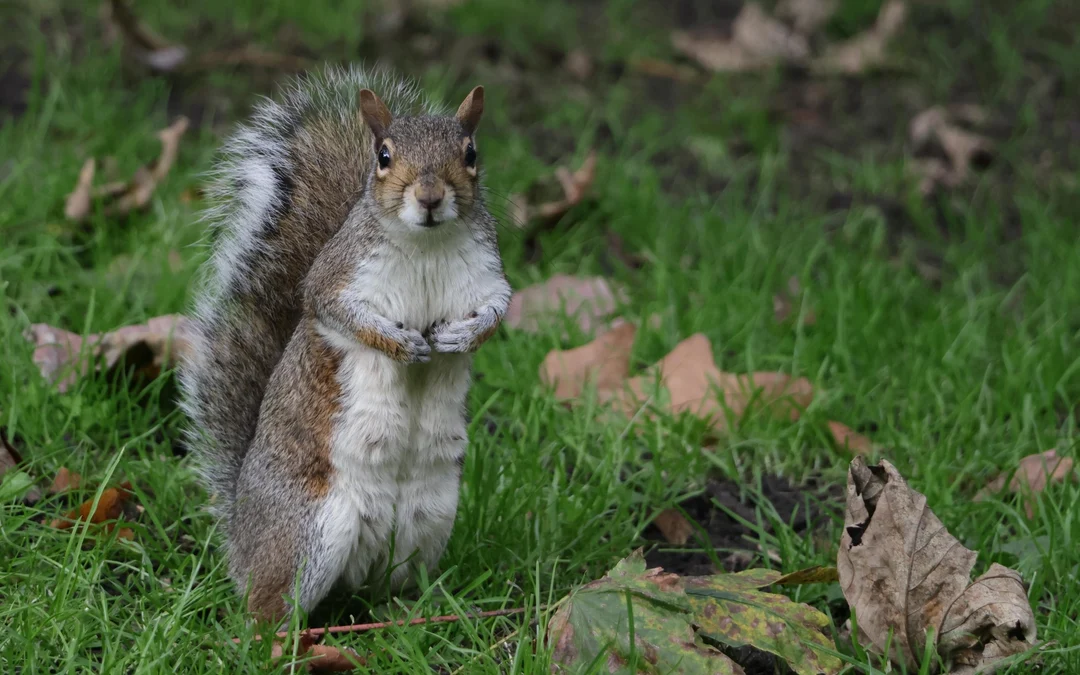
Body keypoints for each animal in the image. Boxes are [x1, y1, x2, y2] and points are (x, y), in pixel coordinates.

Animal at [178, 65, 512, 624]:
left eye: (470, 153)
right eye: (384, 156)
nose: (429, 198)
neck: (427, 245)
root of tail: (240, 535)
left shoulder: (488, 277)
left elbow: (495, 314)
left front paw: (457, 336)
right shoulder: (335, 279)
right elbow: (342, 315)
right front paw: (401, 344)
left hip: (428, 520)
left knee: (386, 586)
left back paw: (409, 612)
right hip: (310, 532)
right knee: (264, 608)